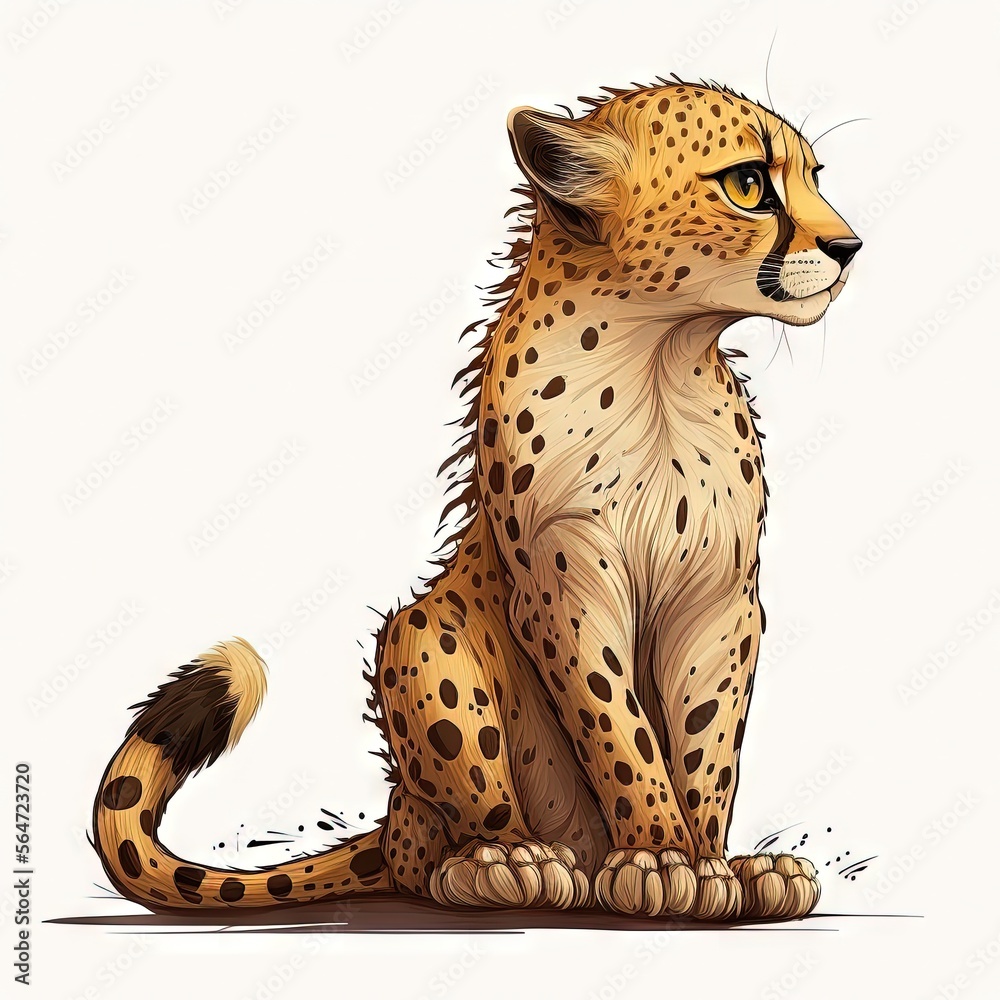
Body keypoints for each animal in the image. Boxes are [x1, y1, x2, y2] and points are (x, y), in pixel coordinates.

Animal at [92, 76, 860, 922]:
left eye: (816, 177)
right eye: (750, 184)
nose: (850, 246)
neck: (660, 358)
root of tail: (395, 819)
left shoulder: (721, 600)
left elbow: (706, 742)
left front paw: (715, 864)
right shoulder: (563, 585)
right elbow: (619, 728)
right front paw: (660, 855)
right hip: (423, 636)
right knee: (447, 837)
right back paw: (507, 860)